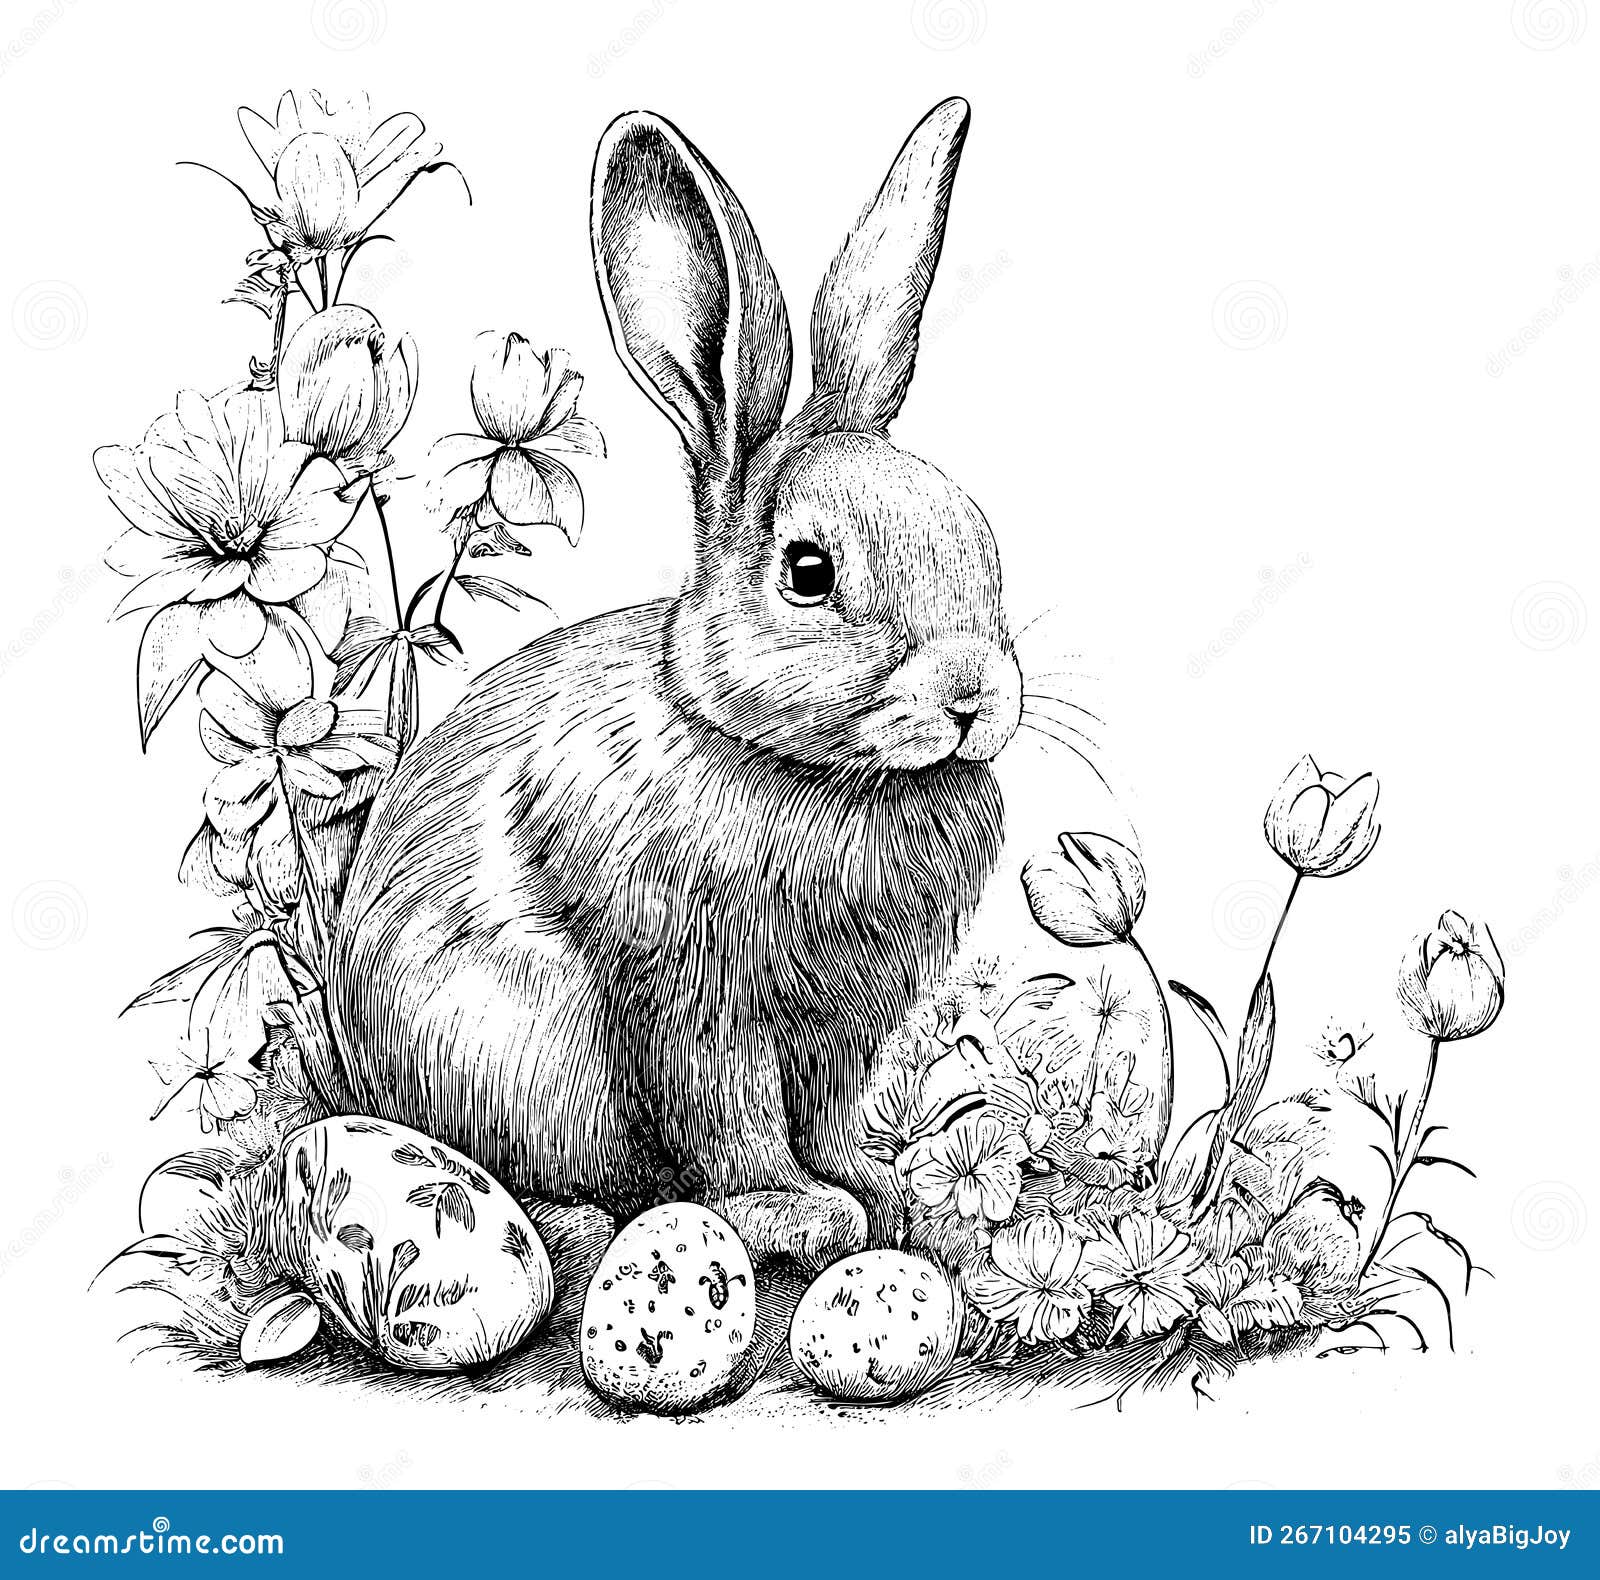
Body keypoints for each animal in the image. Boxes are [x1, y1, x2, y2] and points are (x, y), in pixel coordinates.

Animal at [328, 98, 1023, 1270]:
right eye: (808, 571)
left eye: (983, 542)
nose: (975, 695)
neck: (802, 765)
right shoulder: (697, 1002)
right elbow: (729, 1113)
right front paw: (793, 1212)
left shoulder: (846, 1029)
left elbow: (829, 1116)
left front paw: (887, 1190)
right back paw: (568, 1223)